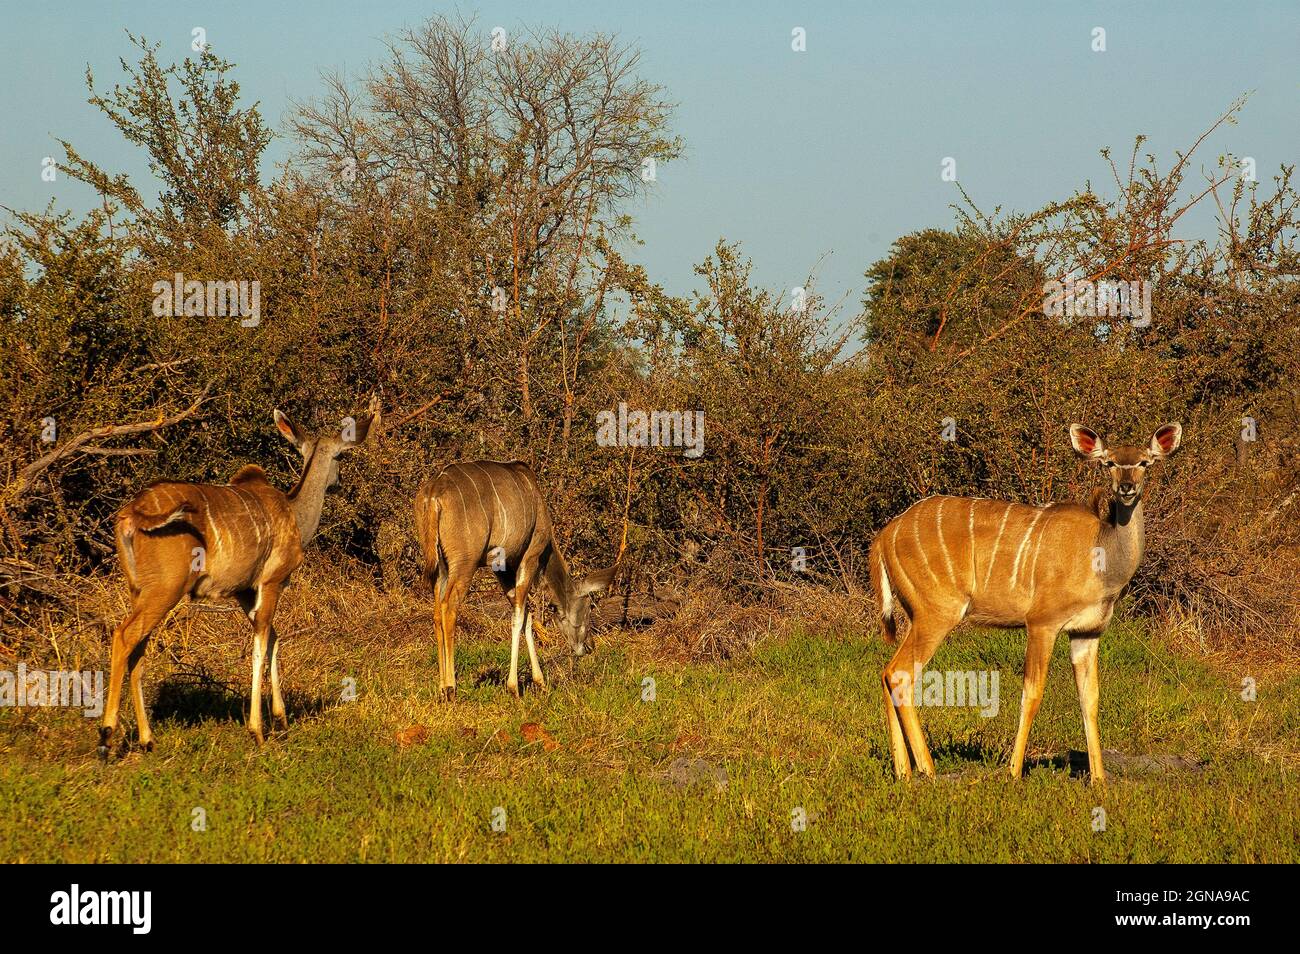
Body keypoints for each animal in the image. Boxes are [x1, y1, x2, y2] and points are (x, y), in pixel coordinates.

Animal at [98, 398, 379, 757]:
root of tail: (132, 514)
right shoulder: (272, 581)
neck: (295, 514)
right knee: (124, 635)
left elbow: (273, 639)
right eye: (340, 456)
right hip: (165, 588)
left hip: (141, 590)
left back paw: (147, 739)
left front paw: (281, 720)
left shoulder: (244, 591)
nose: (338, 482)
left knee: (138, 646)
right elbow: (261, 643)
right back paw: (106, 735)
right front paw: (258, 730)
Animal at [414, 460, 618, 699]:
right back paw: (450, 687)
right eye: (587, 610)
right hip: (465, 563)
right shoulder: (529, 556)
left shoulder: (503, 570)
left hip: (441, 566)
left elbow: (527, 617)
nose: (589, 646)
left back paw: (440, 686)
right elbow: (519, 617)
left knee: (437, 612)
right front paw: (514, 686)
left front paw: (540, 682)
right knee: (449, 607)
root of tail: (433, 495)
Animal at [868, 423, 1182, 784]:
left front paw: (1099, 779)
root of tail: (883, 537)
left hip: (916, 615)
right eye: (1109, 463)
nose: (1127, 488)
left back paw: (903, 771)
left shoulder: (1087, 632)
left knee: (888, 671)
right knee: (900, 673)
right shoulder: (1042, 623)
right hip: (936, 613)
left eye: (1145, 462)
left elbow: (1089, 699)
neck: (1100, 556)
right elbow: (1031, 694)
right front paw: (1014, 772)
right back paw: (928, 769)